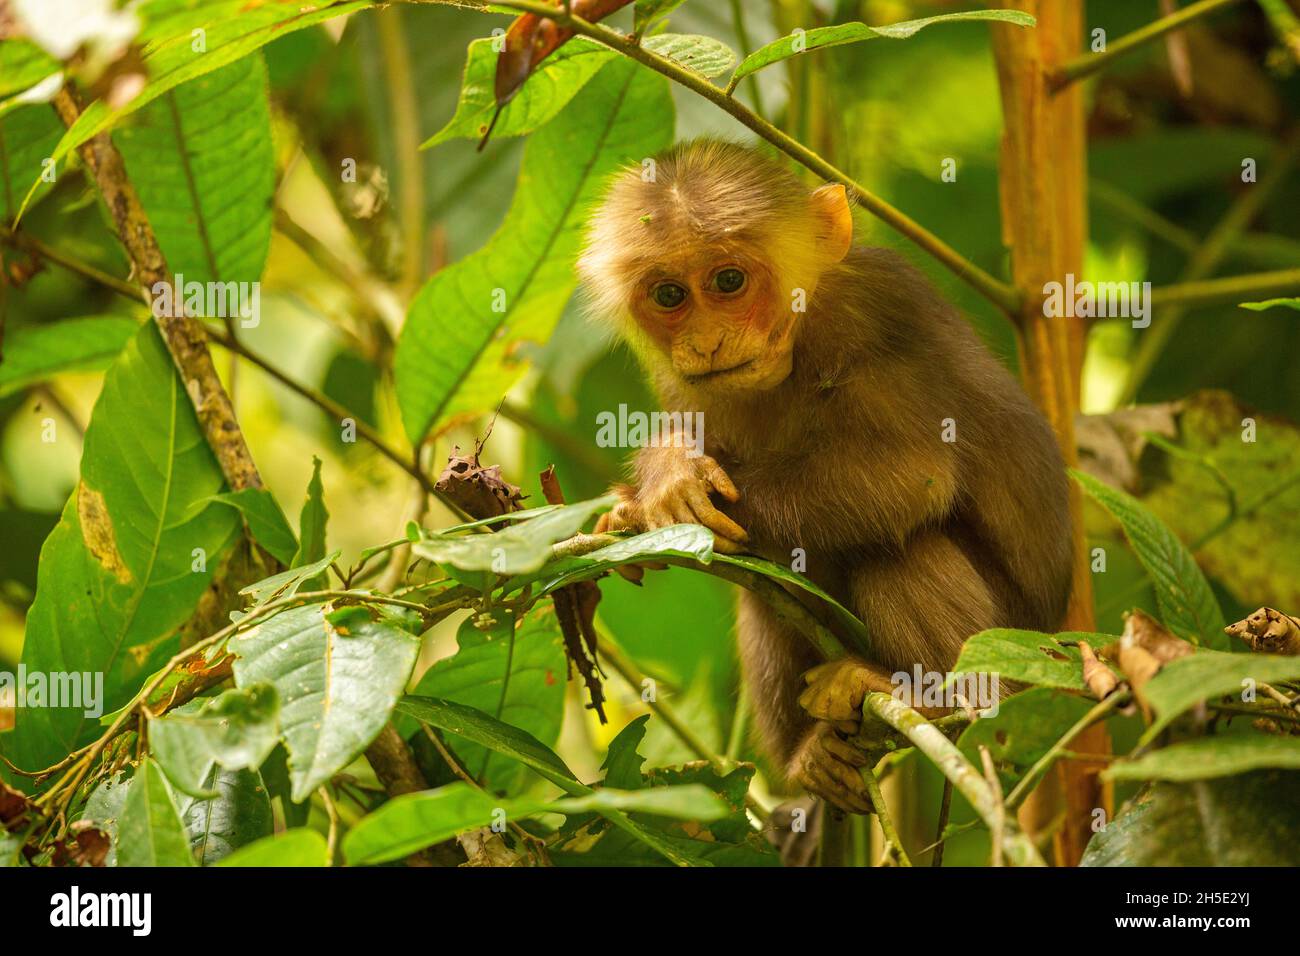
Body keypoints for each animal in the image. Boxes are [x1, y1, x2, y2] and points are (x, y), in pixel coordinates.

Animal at [578, 140, 1073, 815]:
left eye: (729, 281)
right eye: (670, 295)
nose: (706, 342)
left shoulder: (871, 316)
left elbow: (912, 477)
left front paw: (660, 498)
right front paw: (659, 483)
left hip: (1020, 659)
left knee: (904, 550)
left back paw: (937, 708)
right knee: (764, 596)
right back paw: (813, 757)